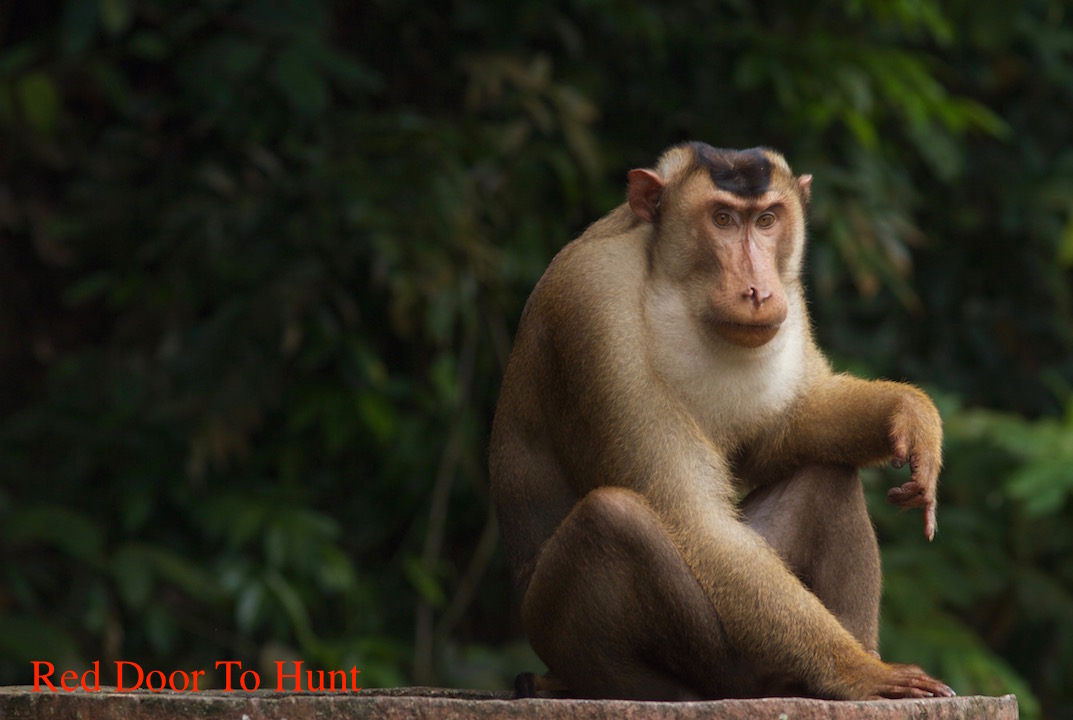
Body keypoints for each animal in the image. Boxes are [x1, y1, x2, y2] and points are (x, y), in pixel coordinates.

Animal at [488, 143, 954, 702]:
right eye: (723, 219)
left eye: (768, 219)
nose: (758, 290)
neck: (673, 288)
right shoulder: (593, 305)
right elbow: (697, 522)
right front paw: (861, 671)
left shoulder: (791, 299)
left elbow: (784, 433)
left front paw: (909, 412)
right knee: (613, 519)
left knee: (828, 475)